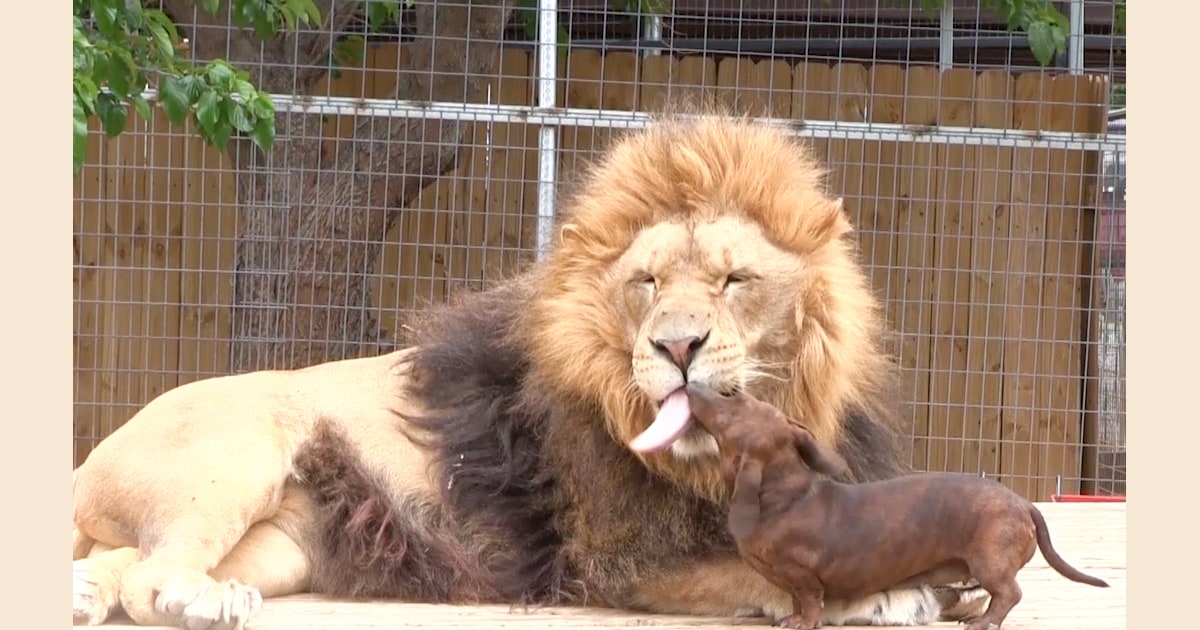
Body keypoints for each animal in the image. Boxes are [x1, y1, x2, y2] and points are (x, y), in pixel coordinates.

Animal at [71, 112, 991, 629]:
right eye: (646, 282)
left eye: (735, 279)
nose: (677, 348)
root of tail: (90, 461)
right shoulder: (615, 560)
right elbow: (756, 569)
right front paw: (884, 595)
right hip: (235, 459)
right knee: (151, 579)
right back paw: (200, 605)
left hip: (280, 545)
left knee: (125, 567)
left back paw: (91, 594)